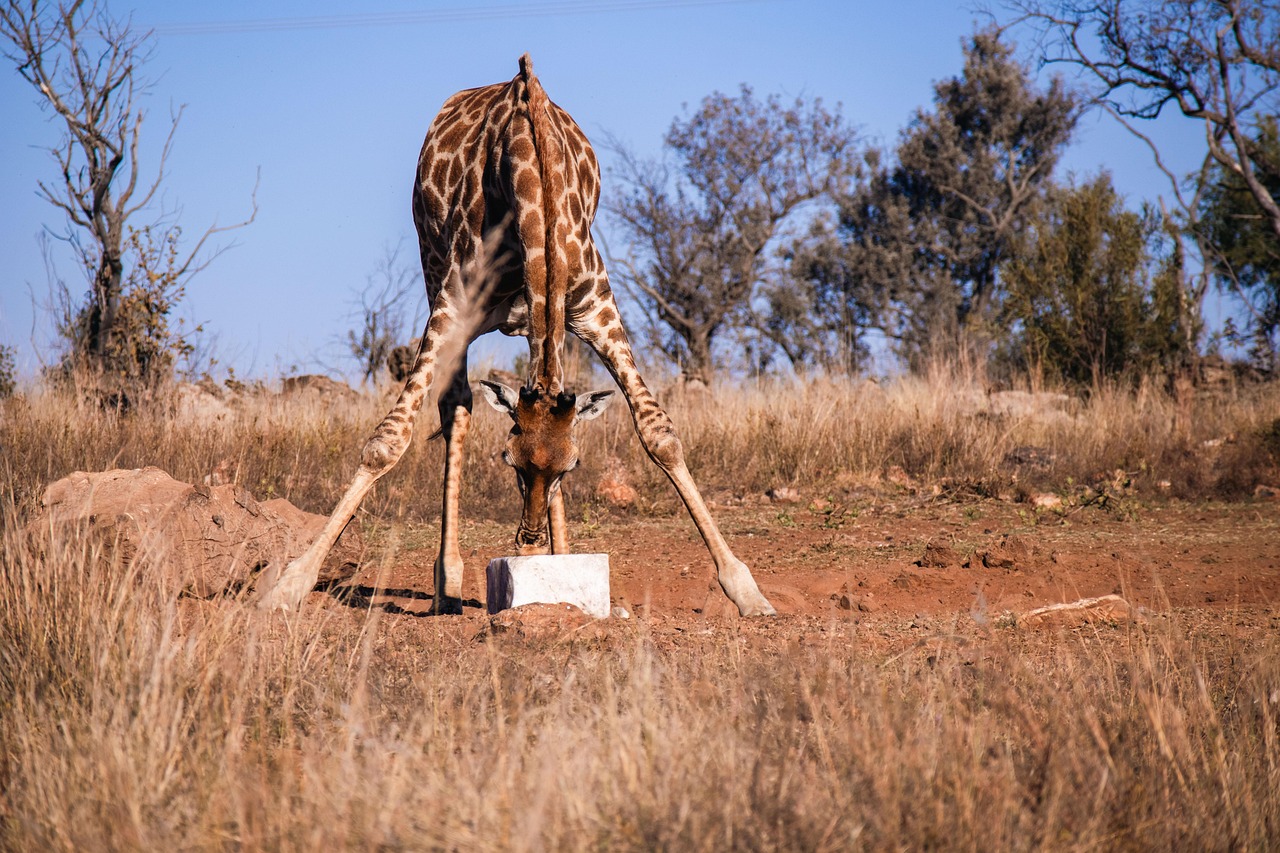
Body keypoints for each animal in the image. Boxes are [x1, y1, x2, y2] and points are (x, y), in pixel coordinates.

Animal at [257, 55, 775, 617]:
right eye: (509, 461)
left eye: (572, 466)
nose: (527, 536)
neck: (535, 185)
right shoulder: (452, 307)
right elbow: (387, 441)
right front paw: (289, 584)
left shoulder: (596, 309)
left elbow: (660, 434)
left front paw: (747, 590)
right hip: (433, 272)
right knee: (456, 405)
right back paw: (448, 581)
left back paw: (556, 560)